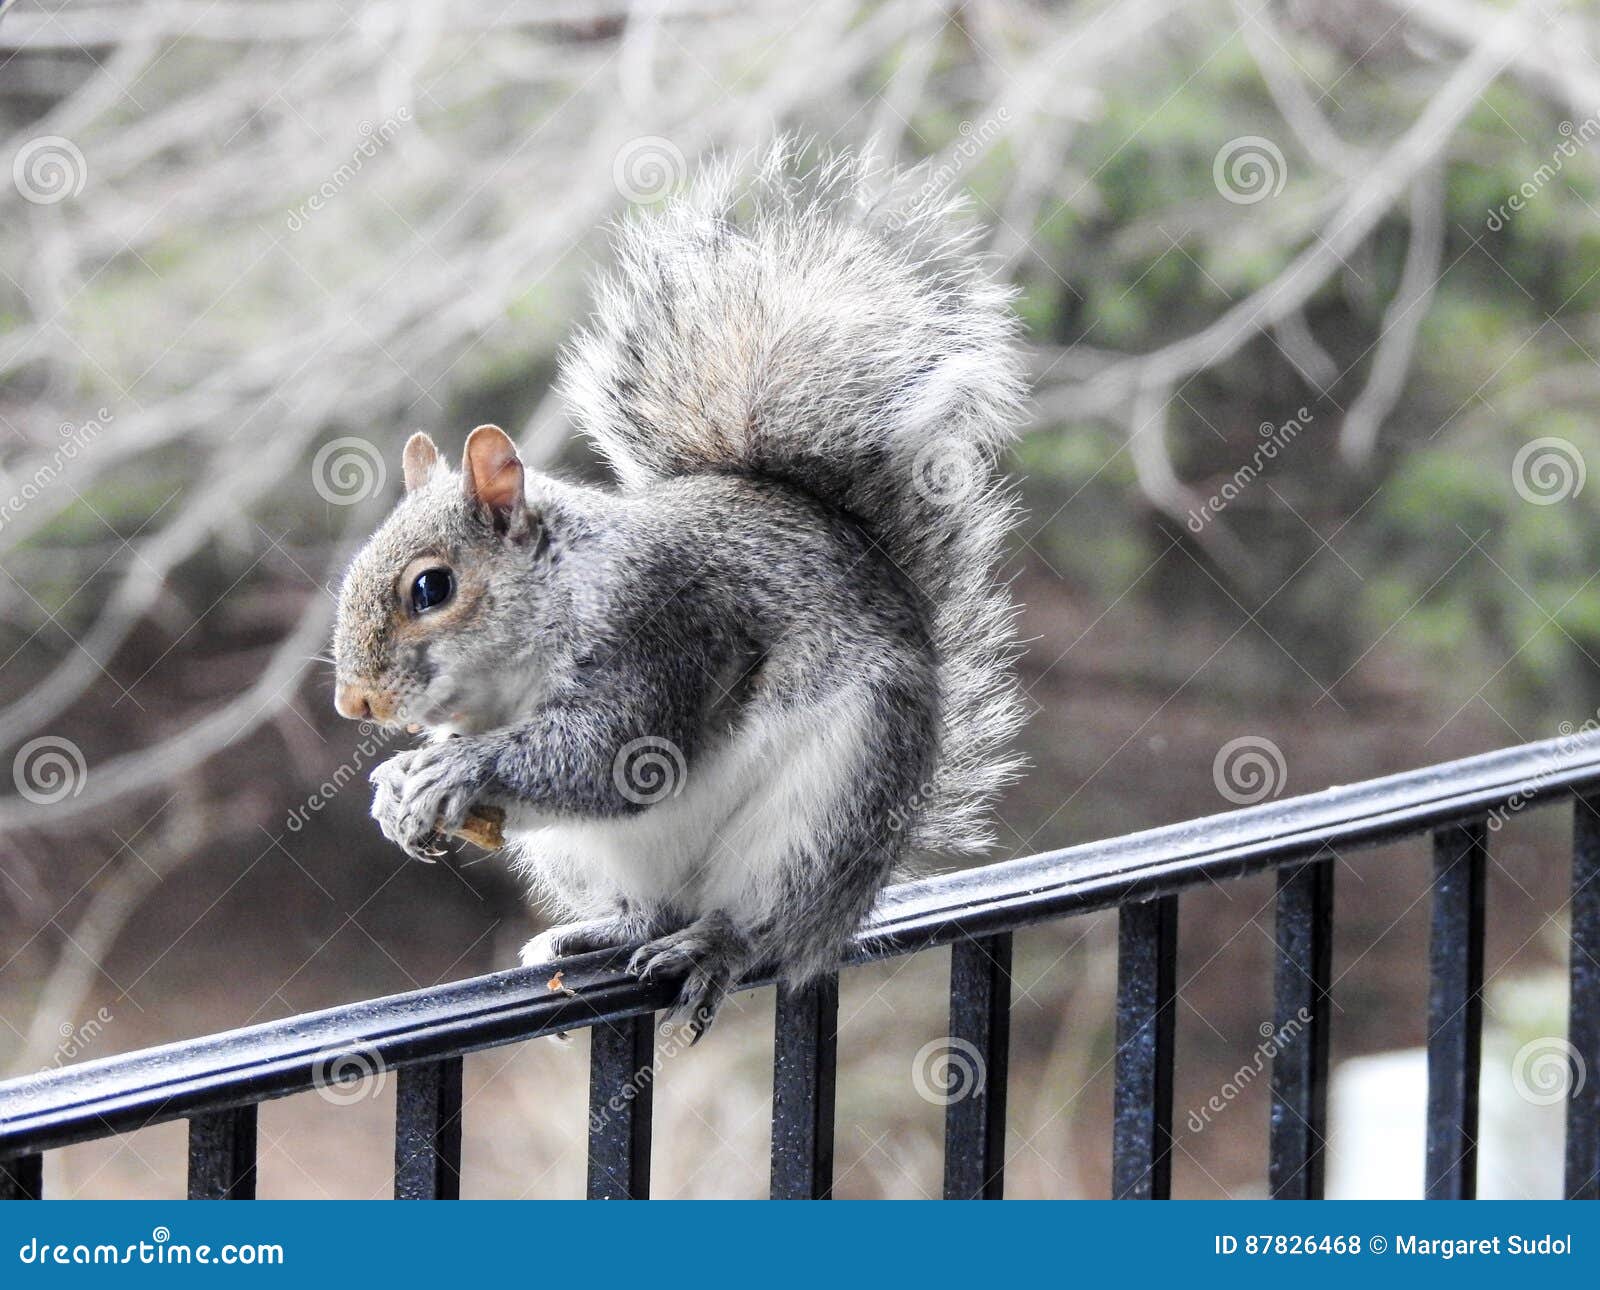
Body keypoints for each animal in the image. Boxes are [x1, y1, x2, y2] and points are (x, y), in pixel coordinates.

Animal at [331, 144, 1026, 1037]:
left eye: (430, 588)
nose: (355, 703)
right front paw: (395, 788)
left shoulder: (662, 627)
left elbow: (608, 756)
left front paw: (460, 768)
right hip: (587, 856)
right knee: (651, 910)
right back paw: (596, 934)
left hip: (828, 811)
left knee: (765, 926)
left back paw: (715, 945)